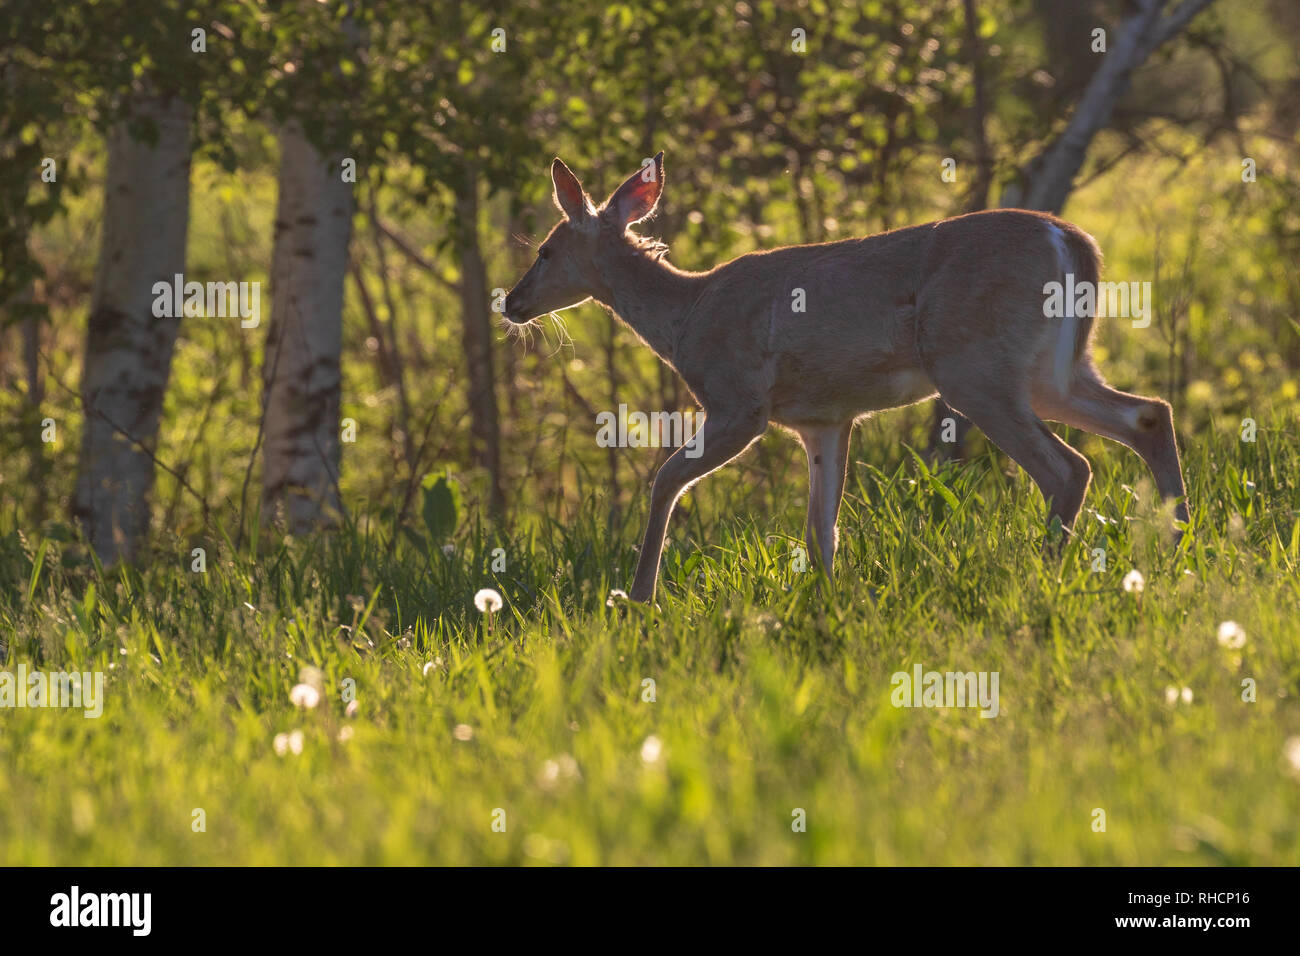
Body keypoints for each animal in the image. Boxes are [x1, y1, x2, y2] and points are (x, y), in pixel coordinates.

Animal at [503, 152, 1189, 604]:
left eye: (545, 251)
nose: (510, 303)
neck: (686, 315)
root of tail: (1071, 241)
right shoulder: (824, 419)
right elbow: (821, 525)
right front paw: (830, 601)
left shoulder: (739, 403)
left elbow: (665, 478)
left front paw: (638, 597)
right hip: (1054, 368)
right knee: (1149, 413)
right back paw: (1178, 545)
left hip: (974, 368)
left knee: (1069, 465)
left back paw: (1045, 575)